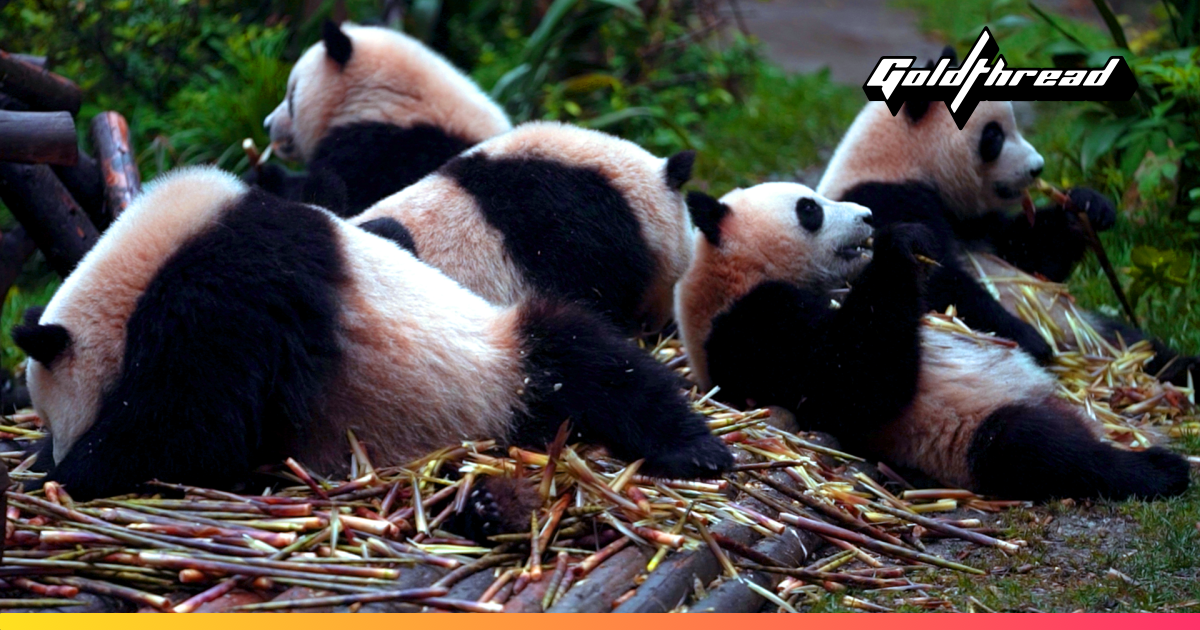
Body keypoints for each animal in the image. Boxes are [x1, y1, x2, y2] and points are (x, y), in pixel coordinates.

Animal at [10, 167, 732, 504]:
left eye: (53, 412)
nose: (53, 444)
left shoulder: (227, 293)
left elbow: (190, 423)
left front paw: (73, 471)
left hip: (503, 361)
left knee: (594, 365)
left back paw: (697, 450)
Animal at [675, 182, 1189, 501]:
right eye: (810, 209)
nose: (868, 216)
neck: (734, 274)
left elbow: (1017, 263)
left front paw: (1082, 207)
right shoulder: (750, 330)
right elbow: (852, 382)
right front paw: (901, 244)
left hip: (1113, 346)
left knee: (1151, 353)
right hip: (973, 431)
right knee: (1041, 451)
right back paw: (1160, 469)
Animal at [818, 91, 1197, 384]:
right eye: (994, 136)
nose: (1037, 167)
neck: (899, 158)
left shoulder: (977, 223)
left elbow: (1030, 256)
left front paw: (1088, 206)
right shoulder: (884, 197)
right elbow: (937, 281)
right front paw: (1030, 339)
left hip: (1094, 330)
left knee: (1144, 347)